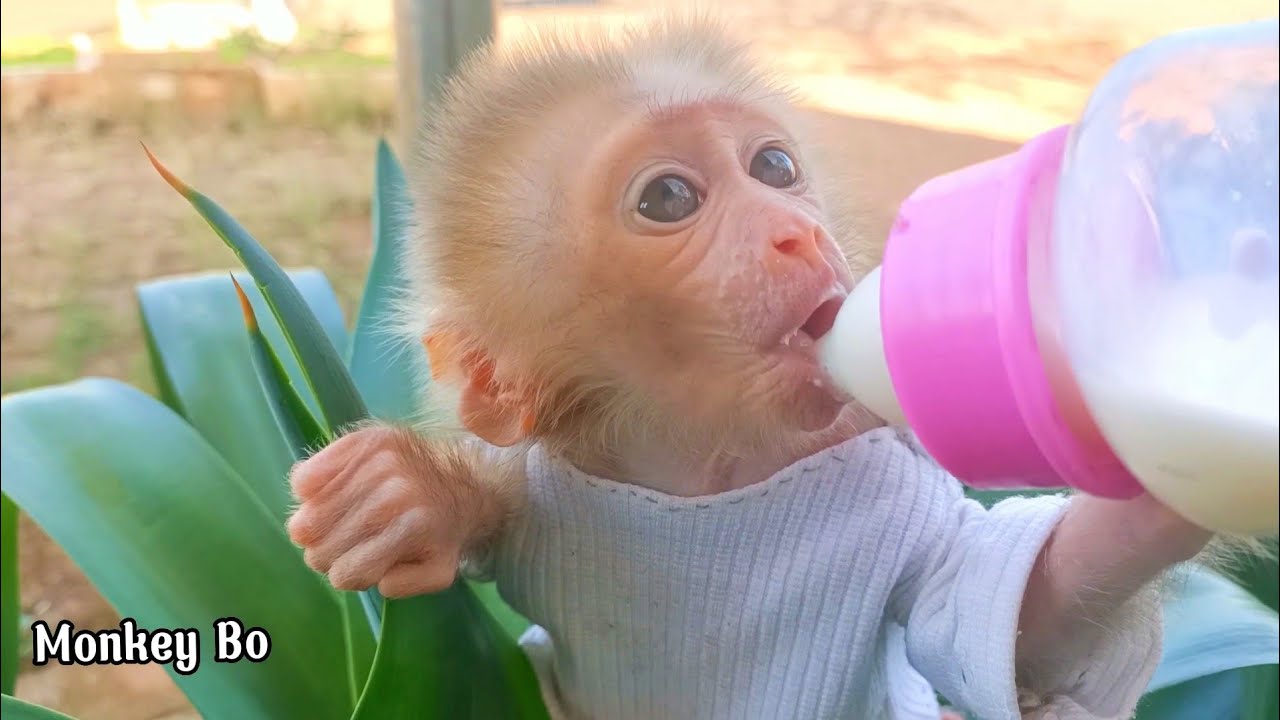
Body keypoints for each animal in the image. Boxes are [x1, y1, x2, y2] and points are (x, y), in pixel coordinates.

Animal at [285, 16, 1222, 720]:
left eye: (774, 167)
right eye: (669, 198)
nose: (794, 231)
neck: (708, 477)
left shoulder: (894, 492)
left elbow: (1003, 610)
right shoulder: (559, 476)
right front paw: (415, 497)